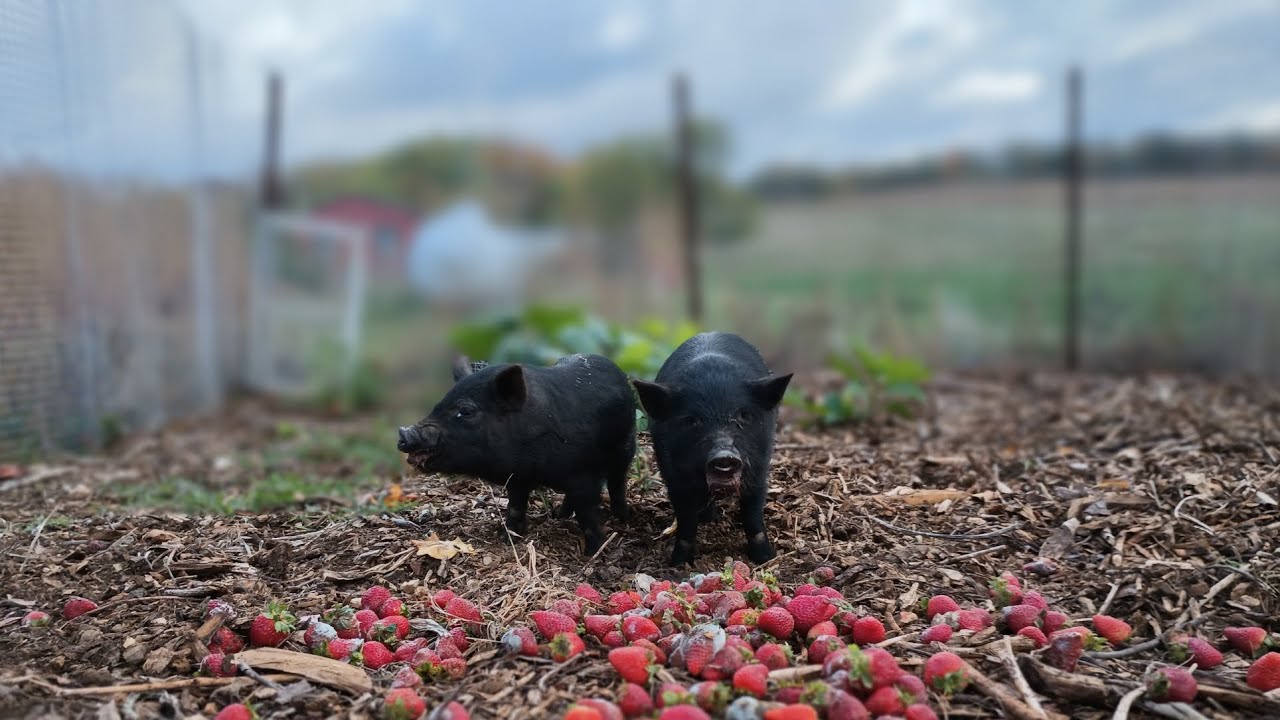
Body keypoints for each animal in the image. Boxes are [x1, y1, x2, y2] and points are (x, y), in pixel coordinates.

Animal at [397, 354, 636, 555]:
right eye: (438, 404)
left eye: (465, 411)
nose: (404, 433)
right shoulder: (517, 479)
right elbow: (515, 506)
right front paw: (507, 536)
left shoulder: (584, 476)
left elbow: (588, 515)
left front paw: (593, 553)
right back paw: (559, 515)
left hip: (626, 449)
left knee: (617, 482)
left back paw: (622, 517)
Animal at [632, 332, 792, 566]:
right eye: (691, 420)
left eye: (743, 415)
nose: (724, 455)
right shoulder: (672, 474)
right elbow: (686, 520)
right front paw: (677, 563)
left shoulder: (760, 466)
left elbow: (753, 514)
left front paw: (766, 559)